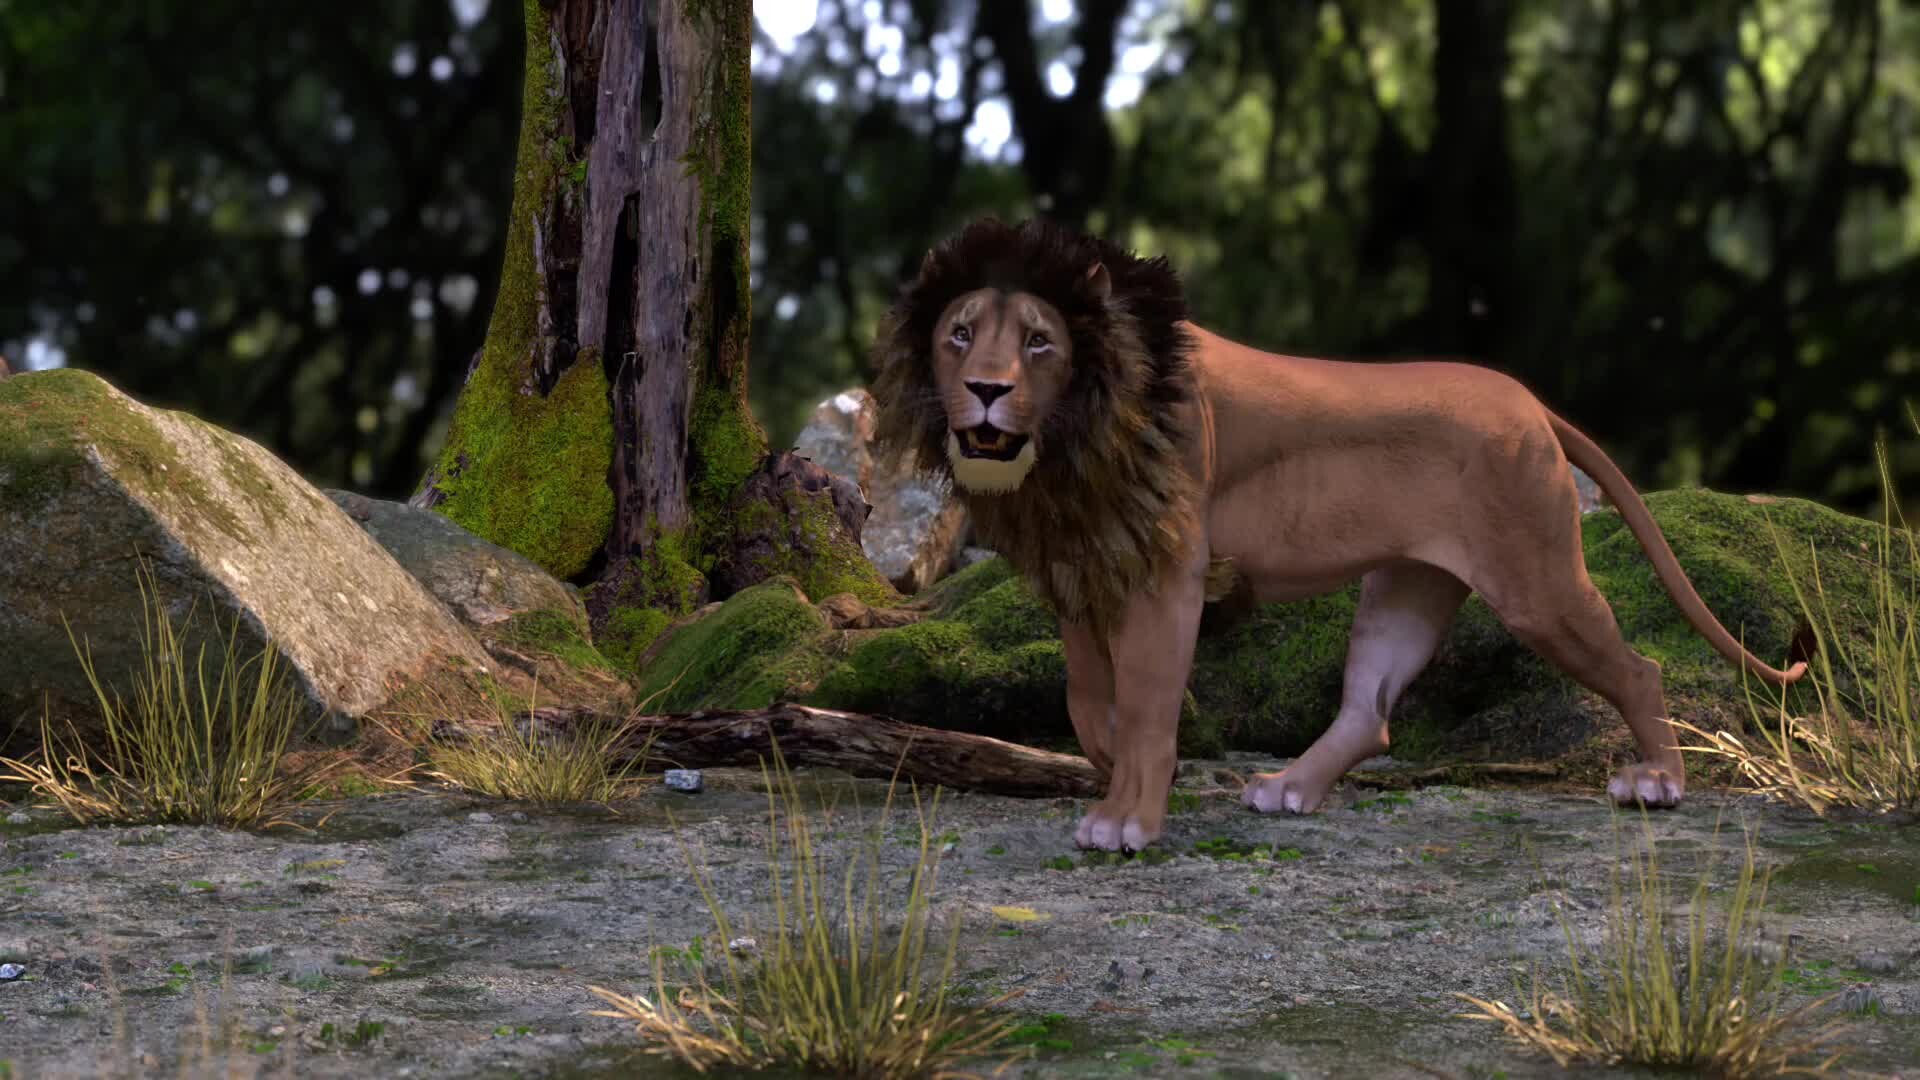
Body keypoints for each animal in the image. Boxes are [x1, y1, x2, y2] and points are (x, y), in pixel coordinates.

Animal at [869, 217, 1807, 853]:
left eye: (1038, 341)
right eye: (959, 335)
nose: (986, 390)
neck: (1077, 439)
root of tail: (1532, 404)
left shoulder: (1168, 573)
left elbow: (1144, 702)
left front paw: (1127, 820)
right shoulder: (1082, 571)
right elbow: (1087, 696)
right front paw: (1104, 768)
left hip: (1535, 582)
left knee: (1638, 669)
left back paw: (1659, 783)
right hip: (1408, 586)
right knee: (1372, 712)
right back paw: (1287, 789)